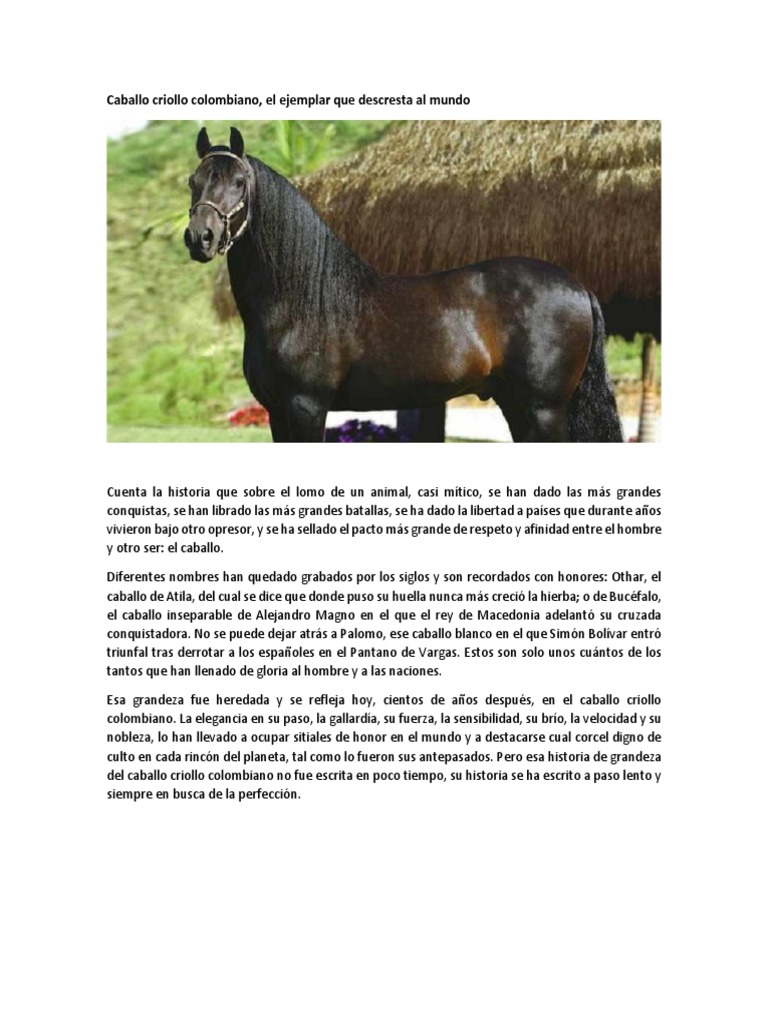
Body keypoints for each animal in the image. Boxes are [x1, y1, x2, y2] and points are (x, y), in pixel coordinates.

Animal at [185, 127, 623, 443]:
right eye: (194, 181)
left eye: (239, 181)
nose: (199, 238)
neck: (298, 304)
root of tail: (578, 287)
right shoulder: (277, 411)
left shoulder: (305, 407)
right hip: (518, 405)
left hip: (544, 409)